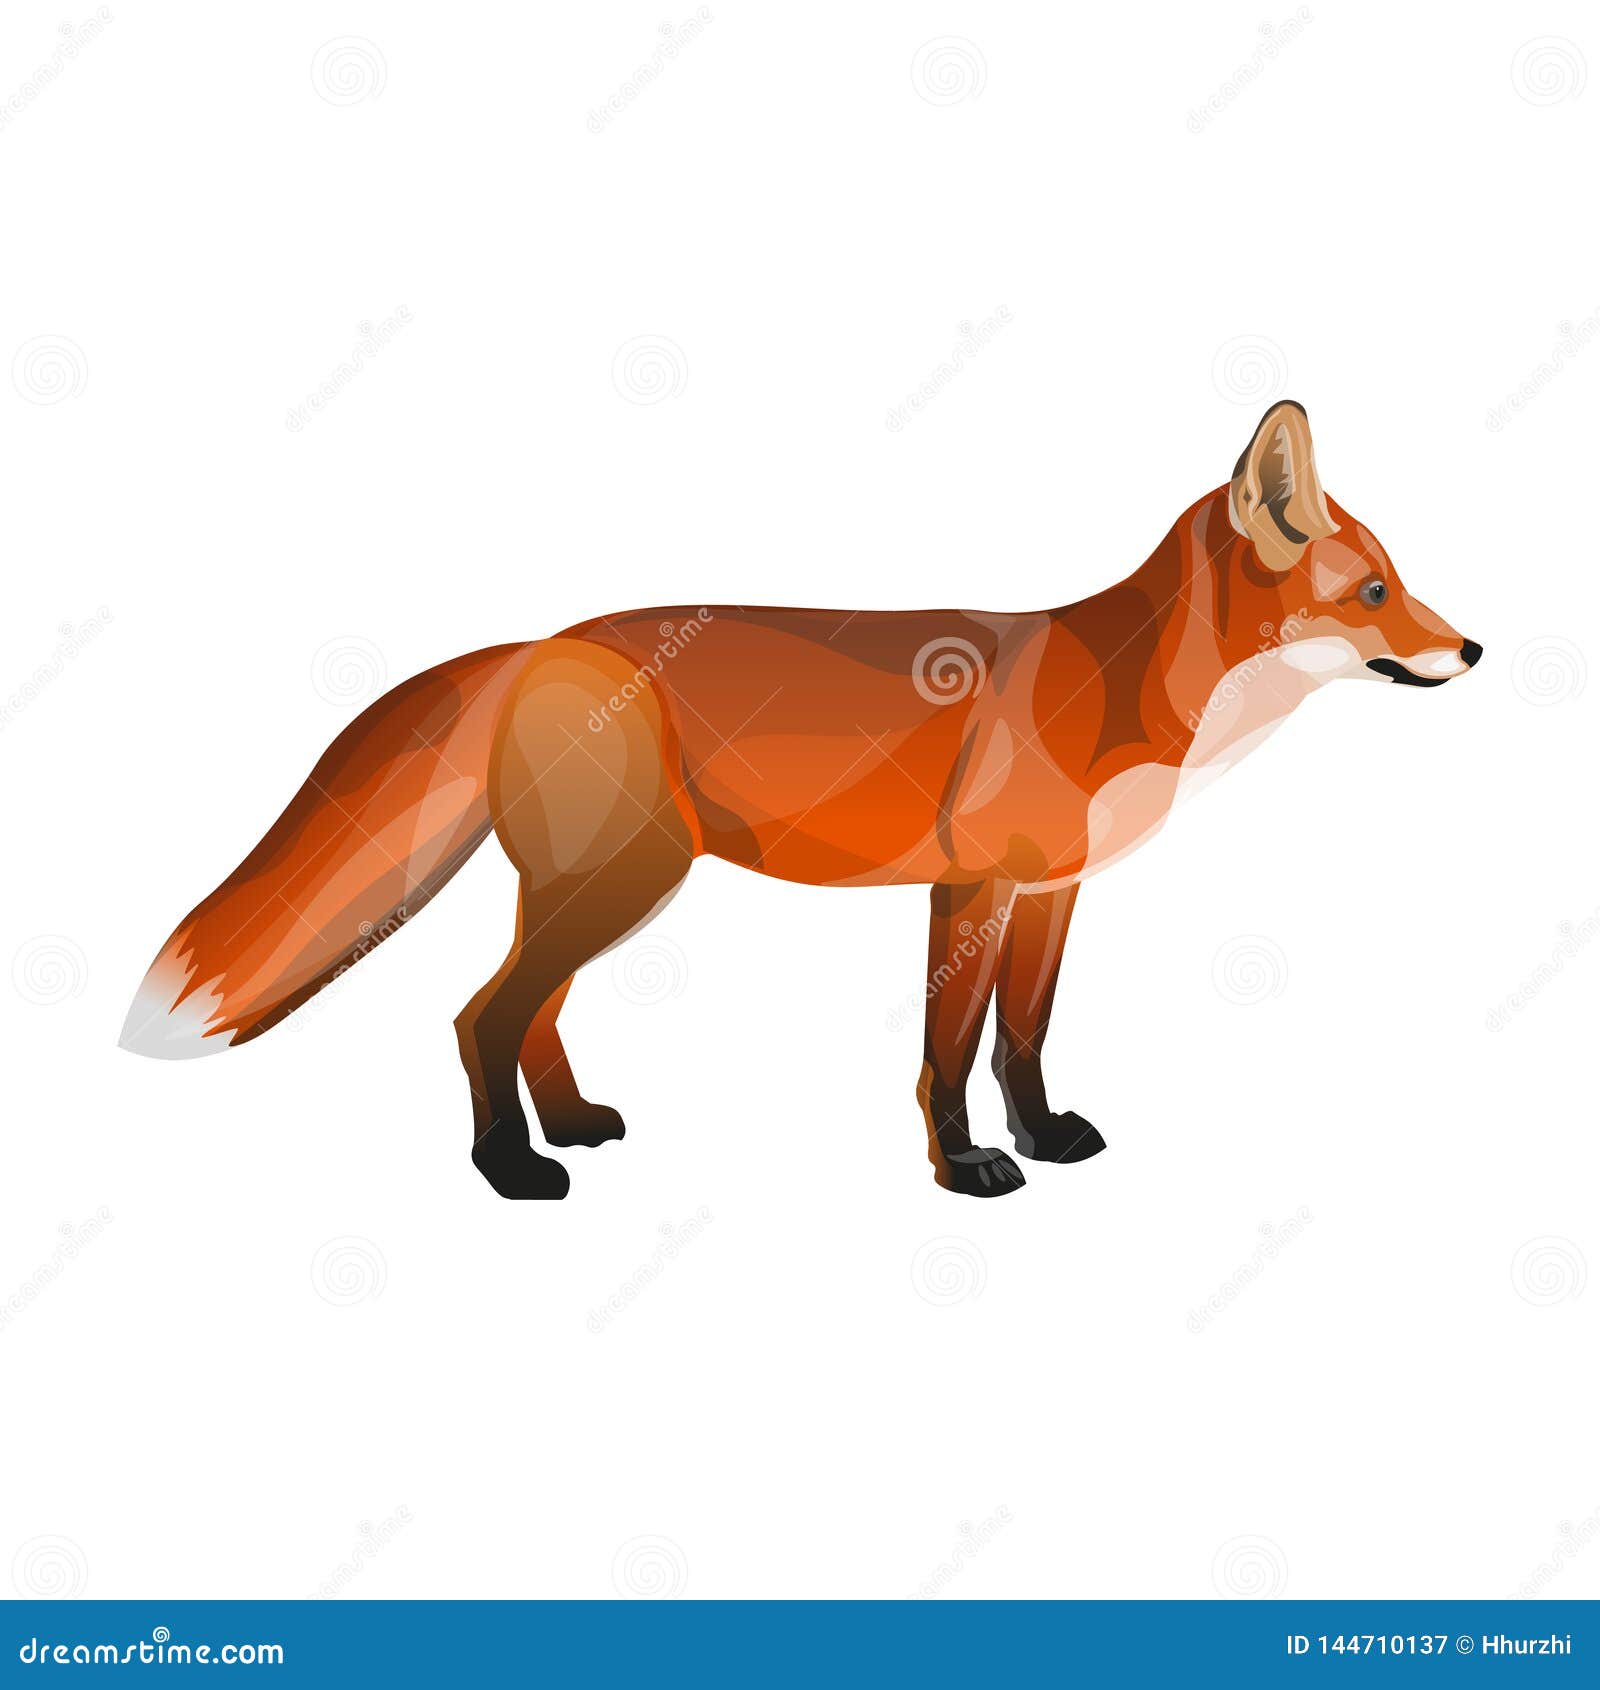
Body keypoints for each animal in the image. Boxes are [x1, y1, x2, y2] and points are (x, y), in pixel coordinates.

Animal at [121, 401, 1479, 1199]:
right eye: (1371, 595)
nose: (1471, 649)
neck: (1120, 685)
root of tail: (535, 642)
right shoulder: (970, 884)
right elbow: (947, 1051)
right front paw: (966, 1165)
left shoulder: (1053, 891)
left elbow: (1024, 1038)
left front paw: (1042, 1136)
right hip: (621, 879)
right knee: (476, 1016)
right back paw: (509, 1166)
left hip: (599, 886)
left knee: (528, 1012)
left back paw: (569, 1124)